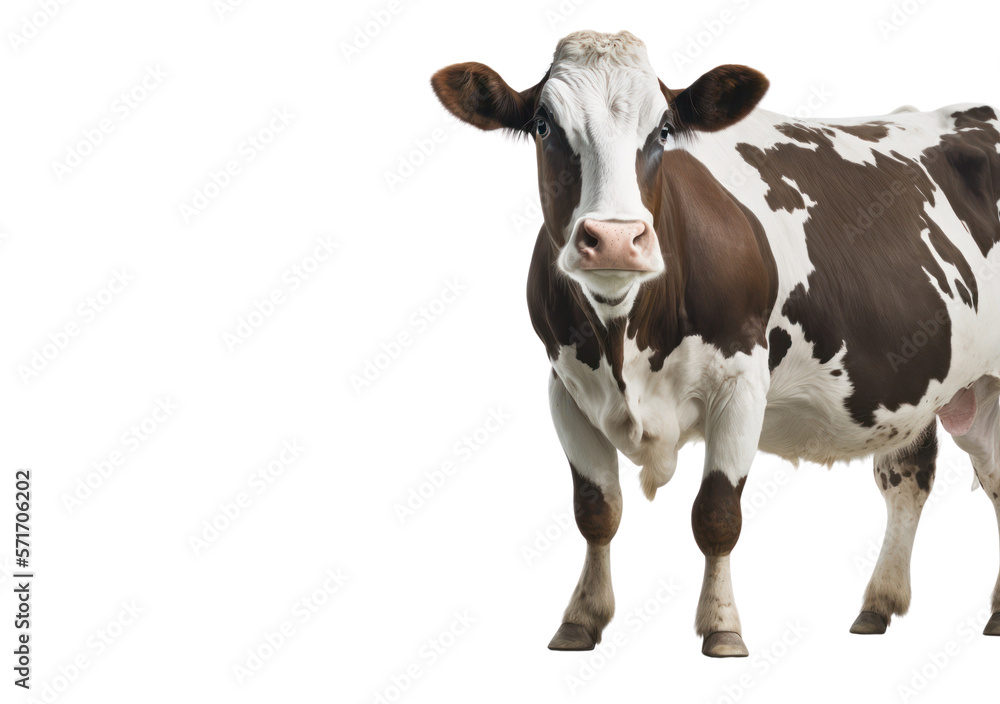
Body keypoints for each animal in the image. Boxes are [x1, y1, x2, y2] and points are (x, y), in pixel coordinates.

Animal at [430, 30, 1000, 657]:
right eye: (543, 126)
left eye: (663, 129)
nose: (615, 239)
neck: (626, 342)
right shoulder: (565, 387)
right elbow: (596, 510)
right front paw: (581, 618)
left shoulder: (742, 379)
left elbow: (717, 514)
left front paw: (723, 627)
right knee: (916, 477)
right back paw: (882, 605)